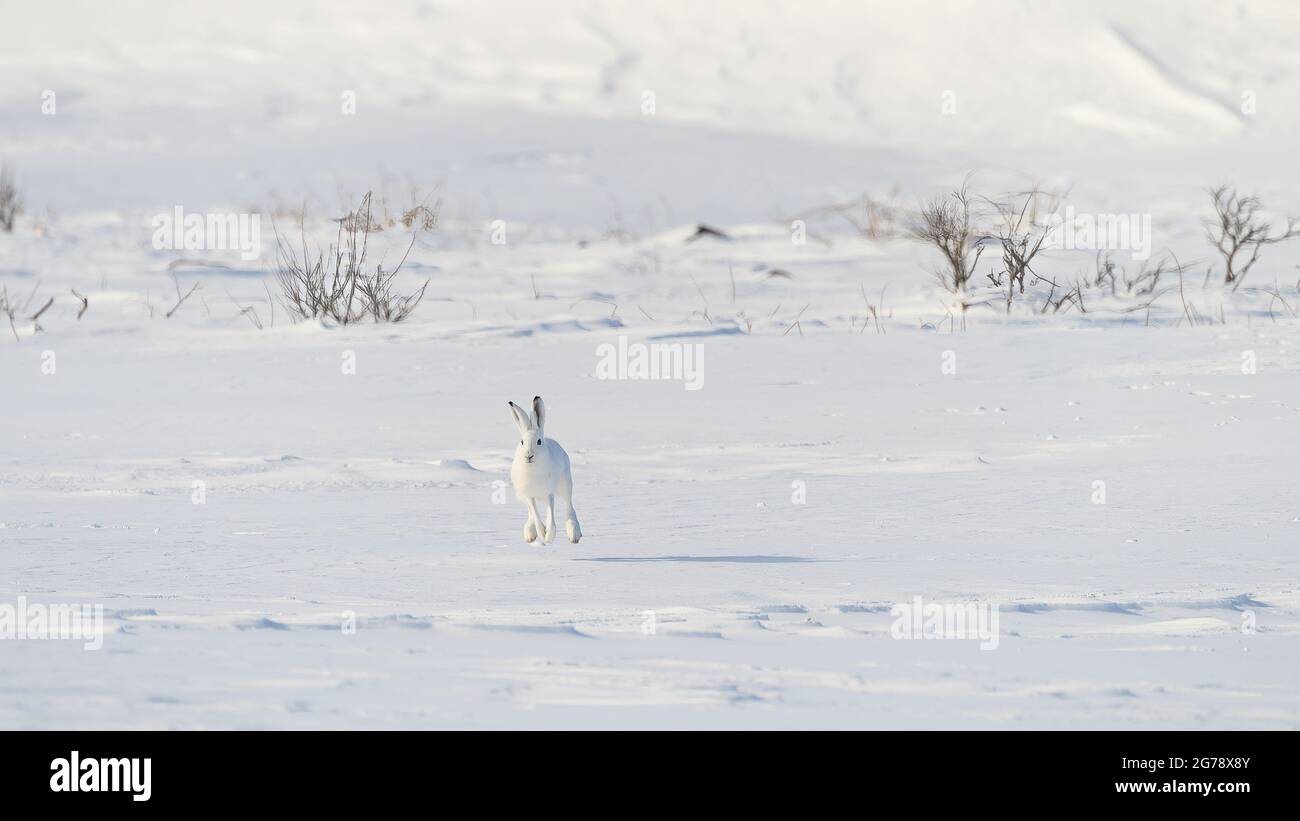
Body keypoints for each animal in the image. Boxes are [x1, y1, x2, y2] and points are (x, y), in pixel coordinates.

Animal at [508, 396, 582, 544]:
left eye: (539, 442)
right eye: (522, 442)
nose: (529, 455)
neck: (532, 469)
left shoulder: (549, 492)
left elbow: (550, 514)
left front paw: (549, 536)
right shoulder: (529, 495)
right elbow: (535, 513)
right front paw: (542, 532)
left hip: (565, 484)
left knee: (569, 506)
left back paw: (574, 533)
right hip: (521, 494)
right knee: (531, 513)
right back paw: (530, 534)